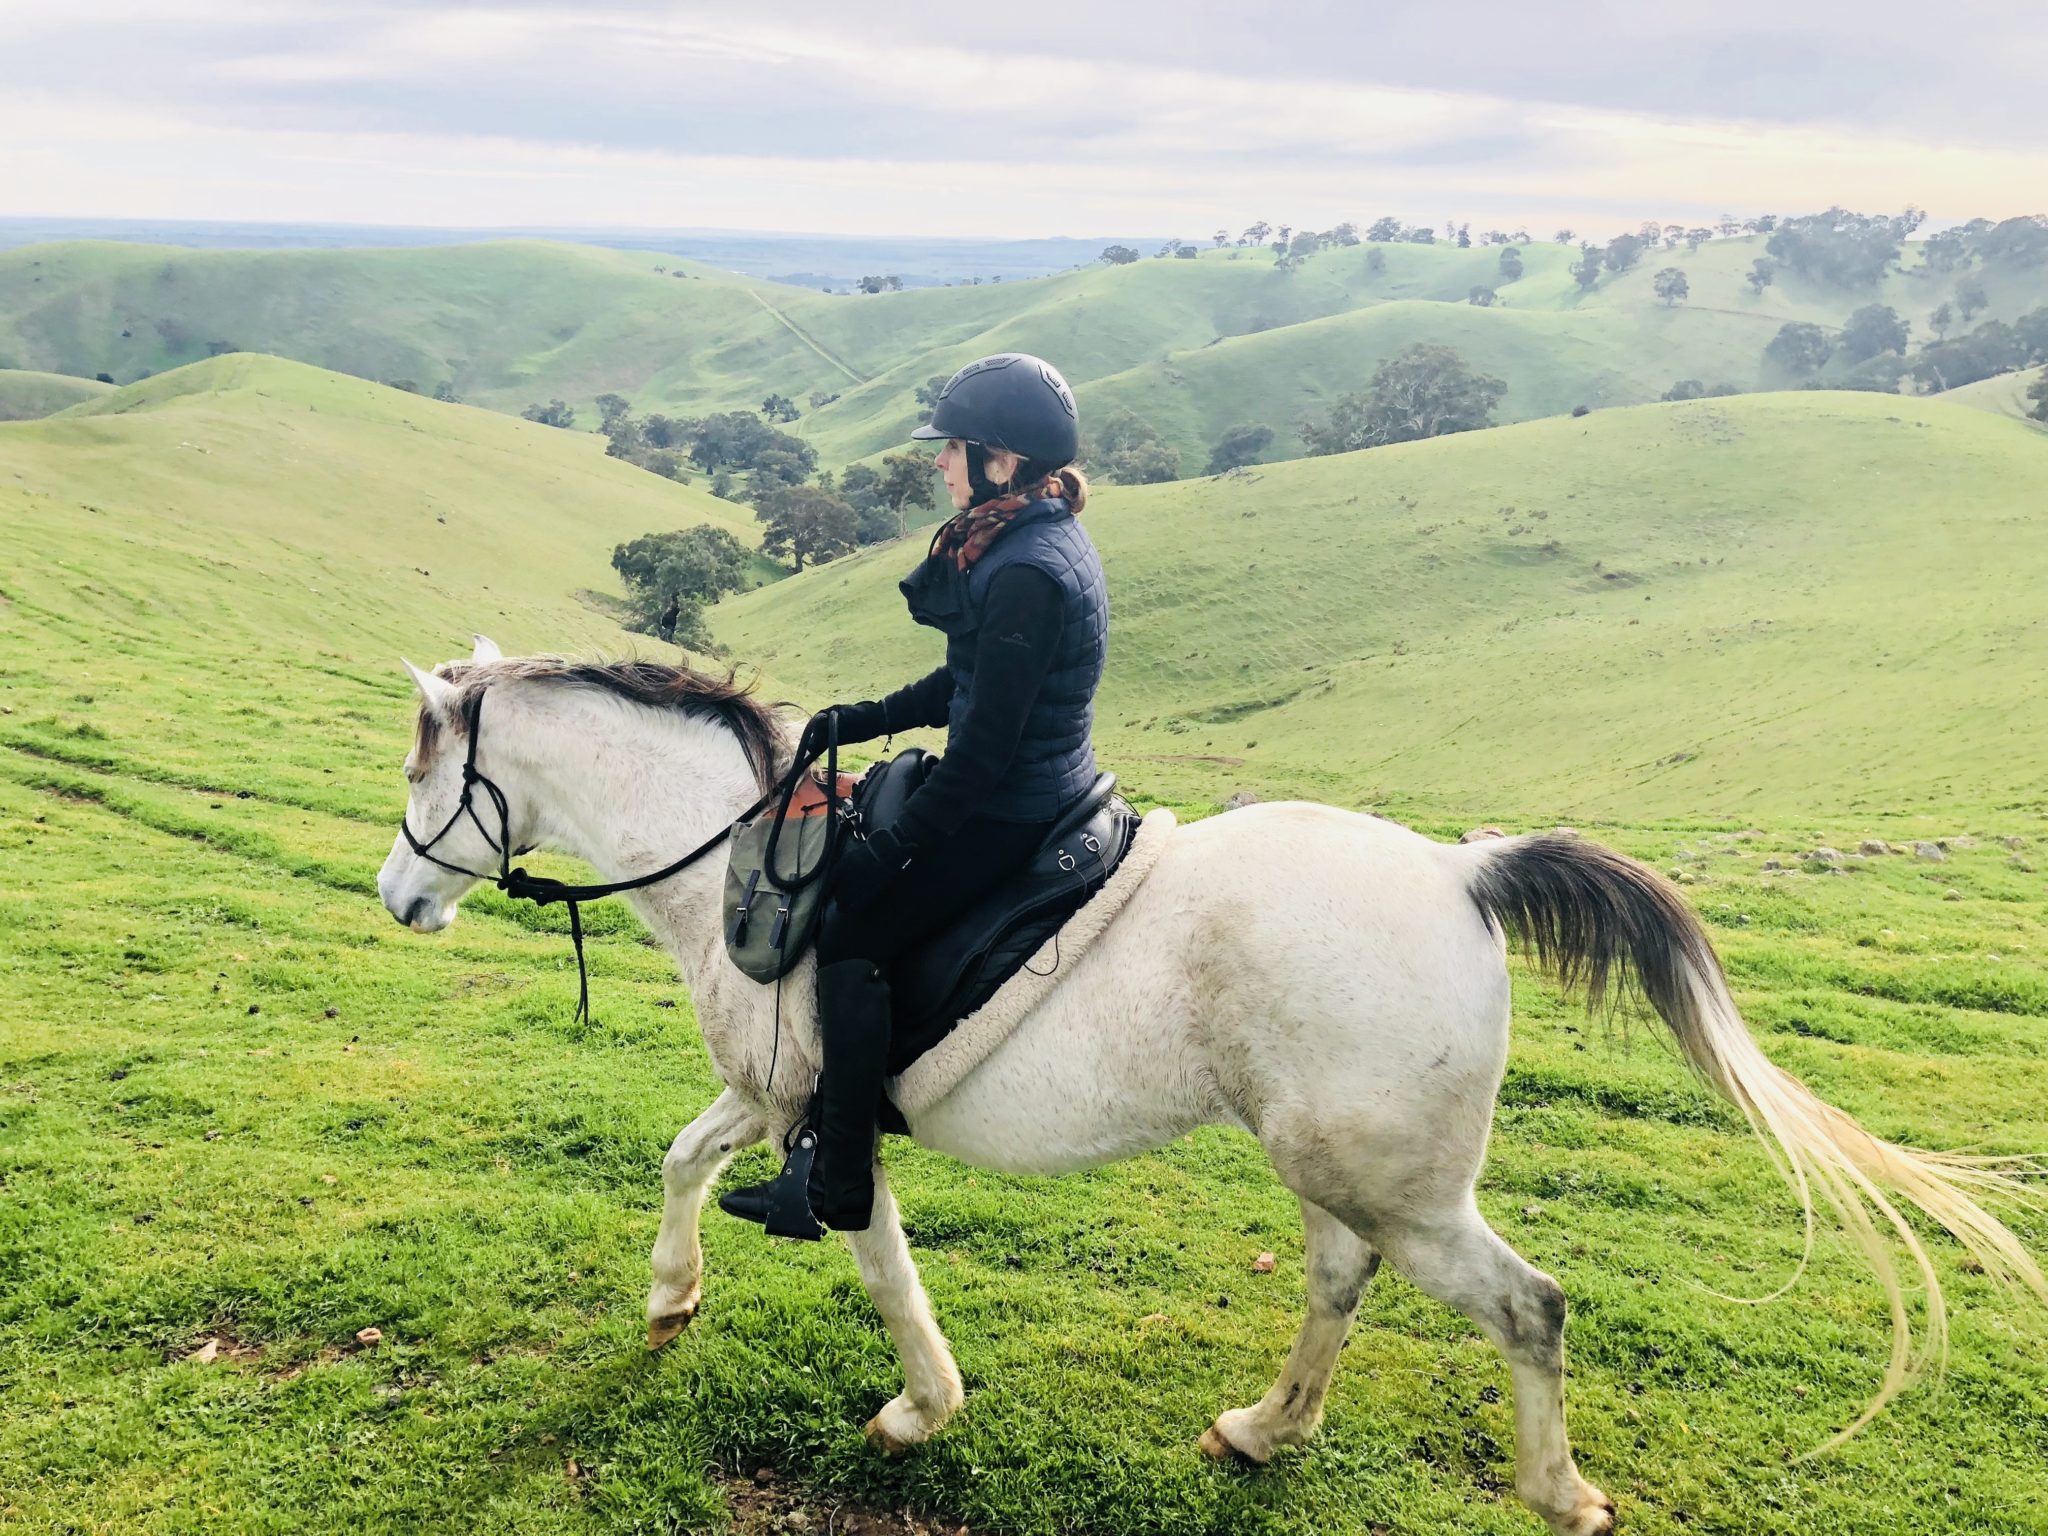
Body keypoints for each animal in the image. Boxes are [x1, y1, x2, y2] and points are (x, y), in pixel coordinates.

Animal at [376, 640, 2043, 1536]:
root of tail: (1462, 873)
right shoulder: (769, 1095)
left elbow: (874, 1256)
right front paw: (671, 1296)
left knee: (1525, 1306)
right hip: (1335, 1166)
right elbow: (682, 1156)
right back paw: (1265, 1428)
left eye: (417, 776)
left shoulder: (823, 1113)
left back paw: (1558, 1493)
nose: (397, 899)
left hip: (1403, 1187)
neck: (743, 859)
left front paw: (922, 1406)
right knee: (1340, 1279)